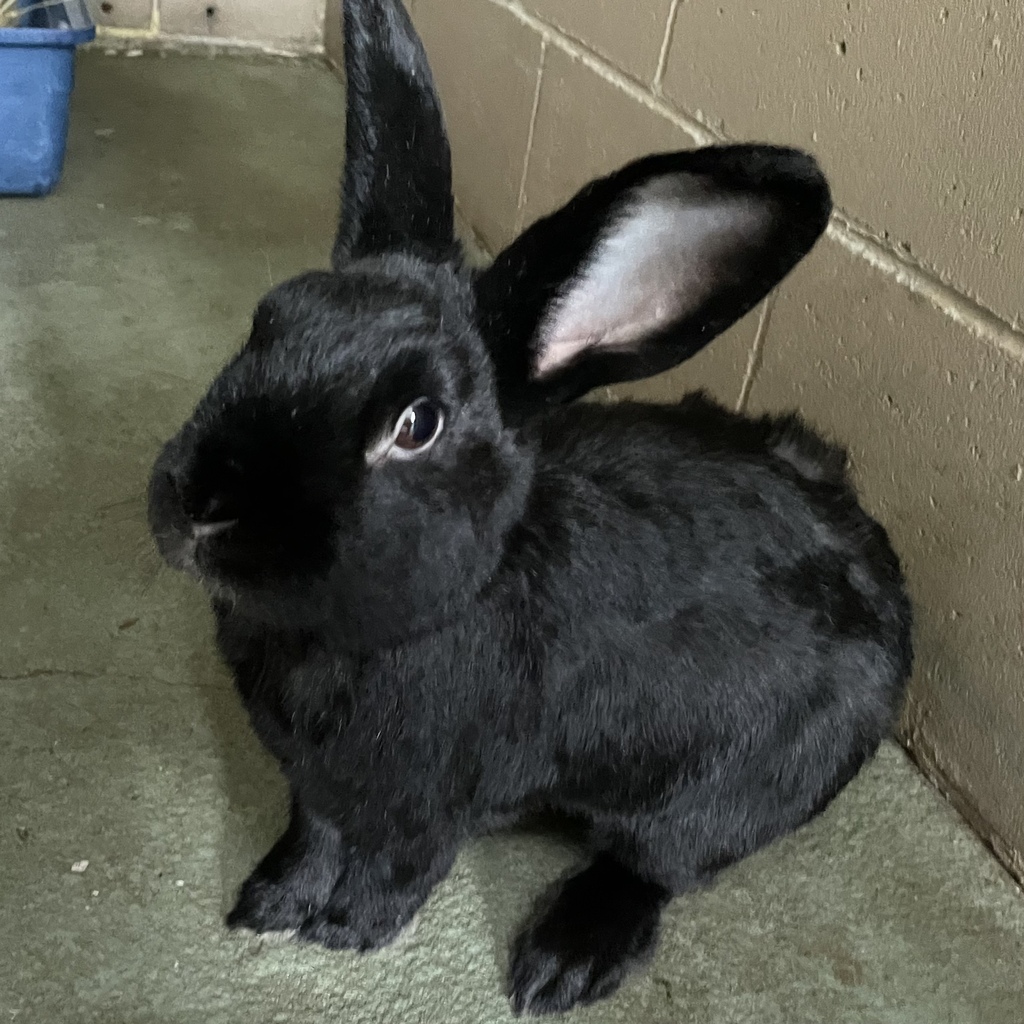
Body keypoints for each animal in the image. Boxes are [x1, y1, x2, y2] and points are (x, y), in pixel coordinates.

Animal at [147, 0, 913, 1015]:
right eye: (265, 323)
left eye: (417, 425)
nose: (202, 502)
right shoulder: (317, 788)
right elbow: (311, 837)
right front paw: (265, 903)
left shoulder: (433, 799)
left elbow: (398, 865)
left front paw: (347, 932)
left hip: (732, 790)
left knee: (657, 866)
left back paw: (564, 961)